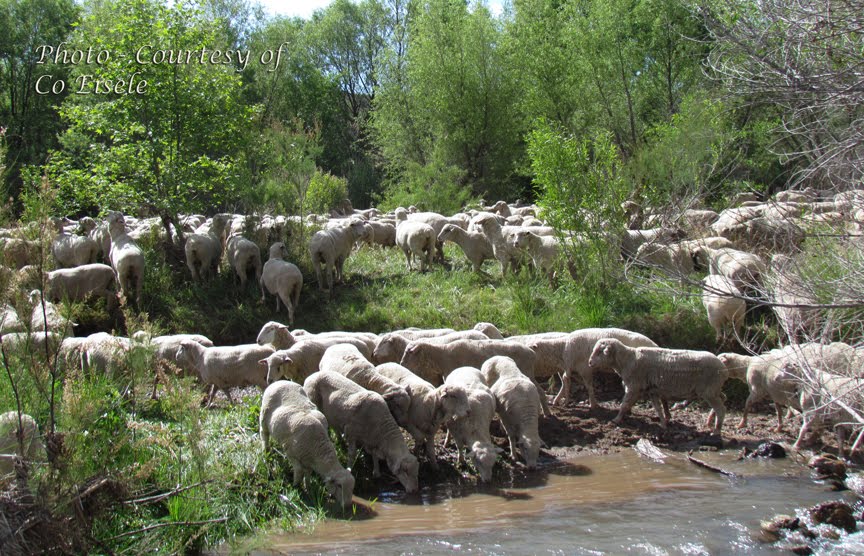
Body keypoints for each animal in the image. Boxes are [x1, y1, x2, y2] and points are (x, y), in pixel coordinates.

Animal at [259, 380, 355, 509]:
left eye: (352, 488)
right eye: (339, 486)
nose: (348, 505)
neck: (318, 448)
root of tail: (280, 381)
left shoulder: (309, 460)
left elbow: (308, 473)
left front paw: (308, 488)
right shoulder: (291, 453)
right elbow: (299, 471)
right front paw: (296, 487)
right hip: (263, 417)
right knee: (264, 436)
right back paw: (266, 453)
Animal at [398, 338, 552, 417]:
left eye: (410, 352)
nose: (401, 364)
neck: (442, 356)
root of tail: (532, 353)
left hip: (527, 372)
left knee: (540, 392)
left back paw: (547, 413)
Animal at [588, 338, 727, 434]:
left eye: (600, 352)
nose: (589, 362)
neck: (628, 360)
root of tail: (723, 368)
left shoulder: (633, 387)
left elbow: (624, 405)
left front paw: (616, 420)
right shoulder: (652, 390)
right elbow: (658, 408)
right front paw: (663, 424)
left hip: (709, 390)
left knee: (721, 409)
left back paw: (716, 430)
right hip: (714, 389)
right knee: (722, 400)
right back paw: (711, 422)